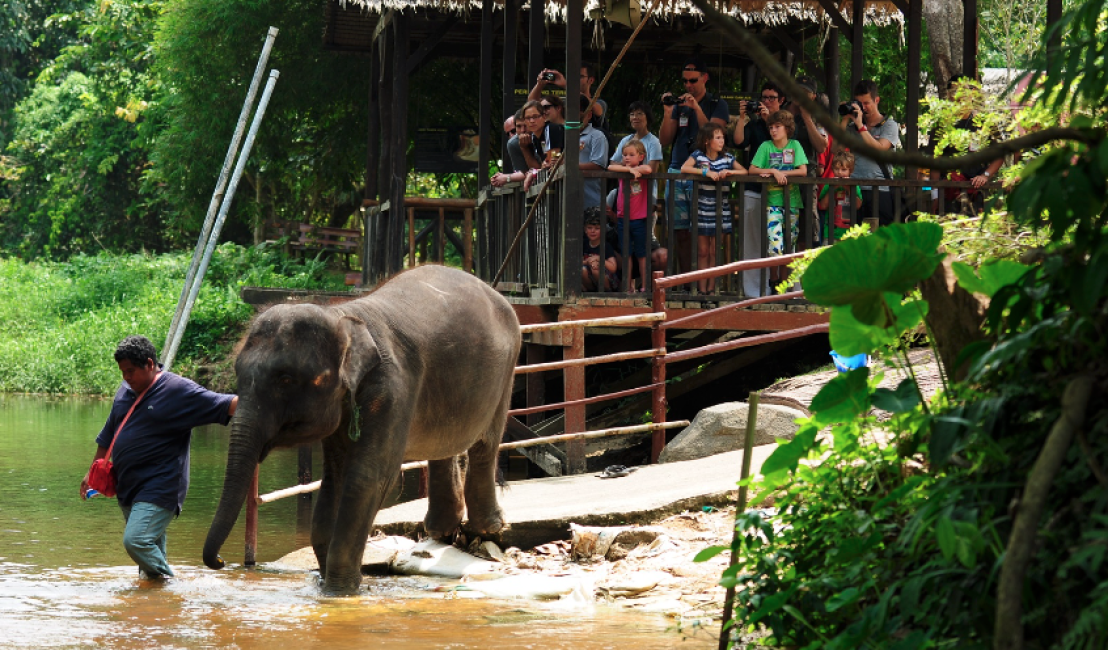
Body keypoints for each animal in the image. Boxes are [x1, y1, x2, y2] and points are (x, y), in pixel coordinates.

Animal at [202, 265, 521, 595]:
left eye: (286, 379)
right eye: (238, 374)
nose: (220, 561)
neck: (343, 316)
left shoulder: (392, 390)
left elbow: (368, 477)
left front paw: (340, 591)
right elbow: (335, 479)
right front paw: (328, 583)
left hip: (507, 367)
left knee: (486, 444)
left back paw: (488, 527)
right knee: (444, 446)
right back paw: (442, 528)